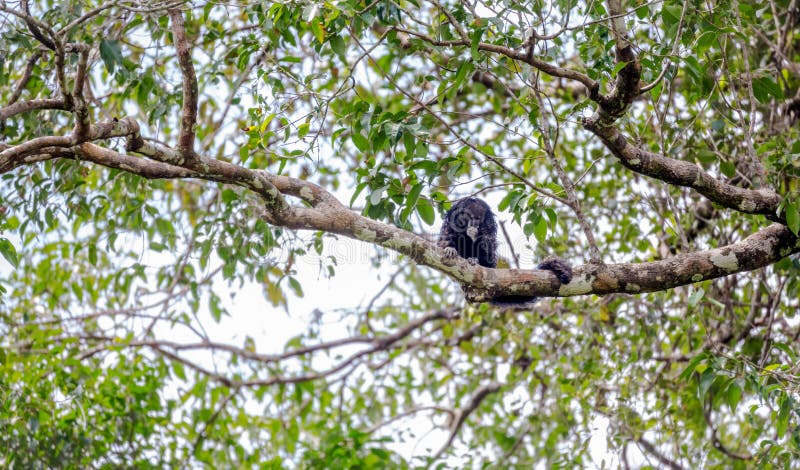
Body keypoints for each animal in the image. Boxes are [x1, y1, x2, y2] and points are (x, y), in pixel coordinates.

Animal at [438, 197, 572, 306]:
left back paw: (474, 260)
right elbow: (446, 239)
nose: (474, 224)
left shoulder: (489, 227)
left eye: (478, 218)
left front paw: (475, 235)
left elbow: (489, 249)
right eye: (468, 216)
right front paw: (450, 248)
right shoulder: (450, 223)